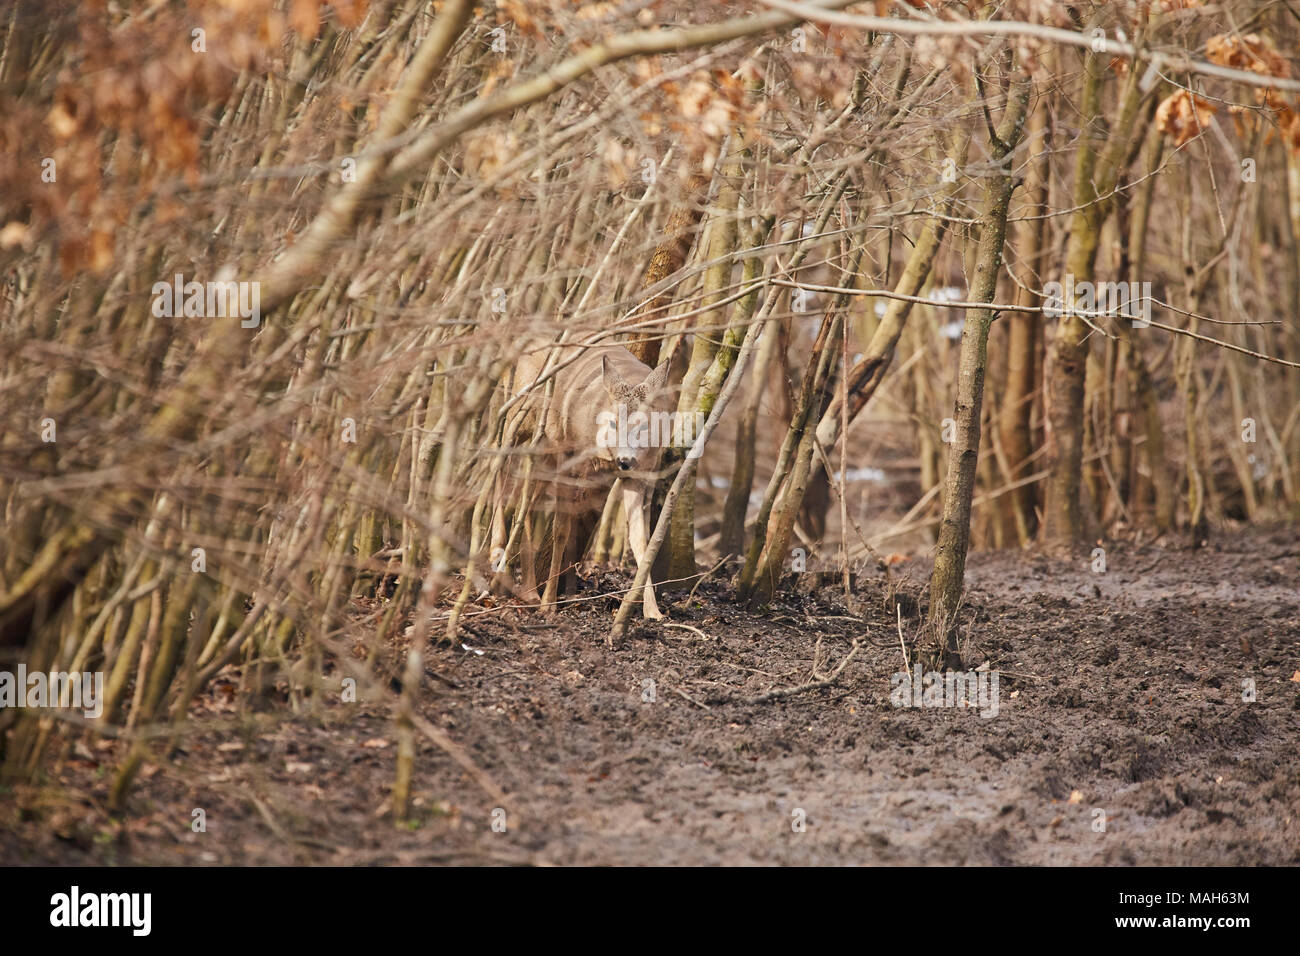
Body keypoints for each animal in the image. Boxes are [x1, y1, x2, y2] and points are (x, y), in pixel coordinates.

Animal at [495, 343, 672, 619]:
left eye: (644, 426)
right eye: (613, 422)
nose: (625, 460)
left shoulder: (642, 473)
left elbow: (641, 540)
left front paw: (652, 611)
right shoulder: (568, 456)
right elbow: (561, 530)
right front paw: (549, 604)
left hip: (545, 450)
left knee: (527, 501)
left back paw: (529, 591)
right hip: (522, 416)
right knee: (498, 463)